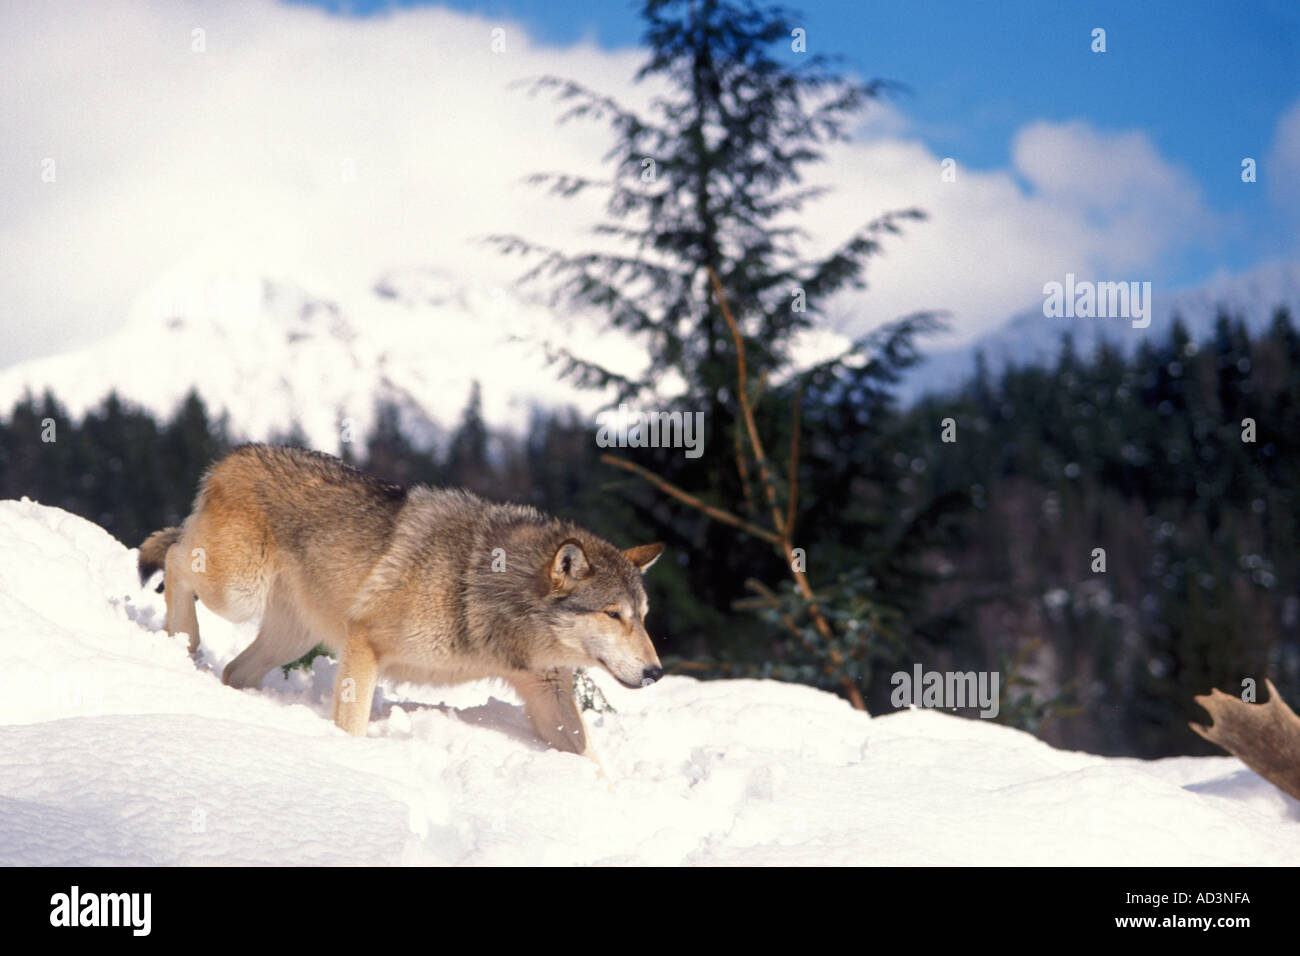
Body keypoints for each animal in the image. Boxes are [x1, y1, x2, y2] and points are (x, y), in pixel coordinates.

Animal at [137, 444, 665, 757]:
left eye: (642, 618)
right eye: (613, 614)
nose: (657, 672)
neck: (487, 591)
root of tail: (231, 455)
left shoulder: (547, 690)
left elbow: (589, 756)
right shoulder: (364, 644)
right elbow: (351, 724)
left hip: (289, 638)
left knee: (233, 670)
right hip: (237, 593)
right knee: (175, 556)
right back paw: (182, 643)